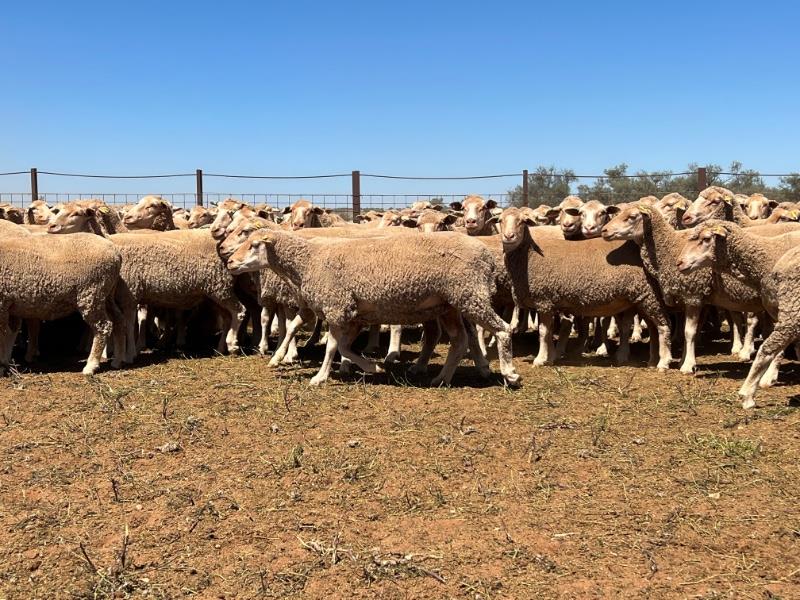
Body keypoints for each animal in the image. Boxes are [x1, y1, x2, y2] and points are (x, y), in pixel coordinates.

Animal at [226, 229, 521, 387]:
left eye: (254, 245)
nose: (229, 262)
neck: (309, 261)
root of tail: (486, 256)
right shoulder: (350, 313)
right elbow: (342, 347)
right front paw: (372, 368)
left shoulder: (337, 307)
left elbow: (333, 347)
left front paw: (320, 377)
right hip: (450, 304)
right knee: (459, 341)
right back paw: (441, 378)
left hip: (469, 295)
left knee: (502, 330)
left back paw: (510, 373)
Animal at [497, 207, 673, 370]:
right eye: (500, 220)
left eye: (522, 222)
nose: (509, 237)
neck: (528, 257)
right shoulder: (549, 302)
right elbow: (549, 332)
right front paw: (551, 357)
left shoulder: (543, 299)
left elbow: (543, 332)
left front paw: (540, 359)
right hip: (643, 299)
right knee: (653, 328)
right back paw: (652, 361)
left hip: (649, 295)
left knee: (663, 326)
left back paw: (663, 362)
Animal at [676, 221, 800, 408]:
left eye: (706, 239)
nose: (679, 263)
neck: (766, 256)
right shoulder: (778, 310)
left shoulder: (789, 311)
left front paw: (768, 378)